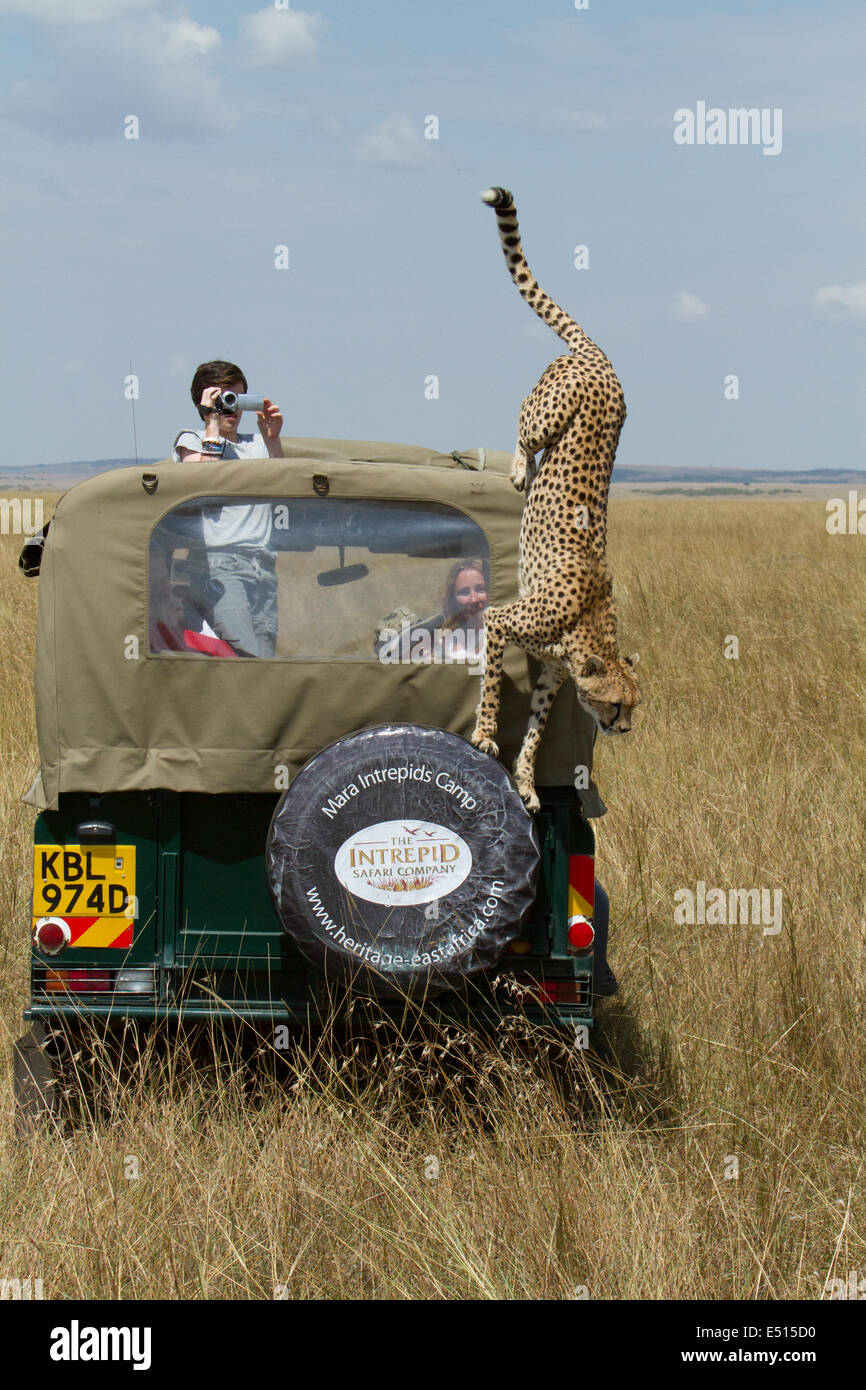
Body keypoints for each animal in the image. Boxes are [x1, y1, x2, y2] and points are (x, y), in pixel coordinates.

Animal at [470, 186, 641, 811]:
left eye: (631, 704)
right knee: (523, 420)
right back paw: (521, 468)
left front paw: (524, 782)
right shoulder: (499, 620)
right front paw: (484, 735)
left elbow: (539, 730)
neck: (589, 627)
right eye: (613, 704)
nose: (623, 729)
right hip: (551, 409)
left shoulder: (551, 674)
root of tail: (600, 358)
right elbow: (493, 687)